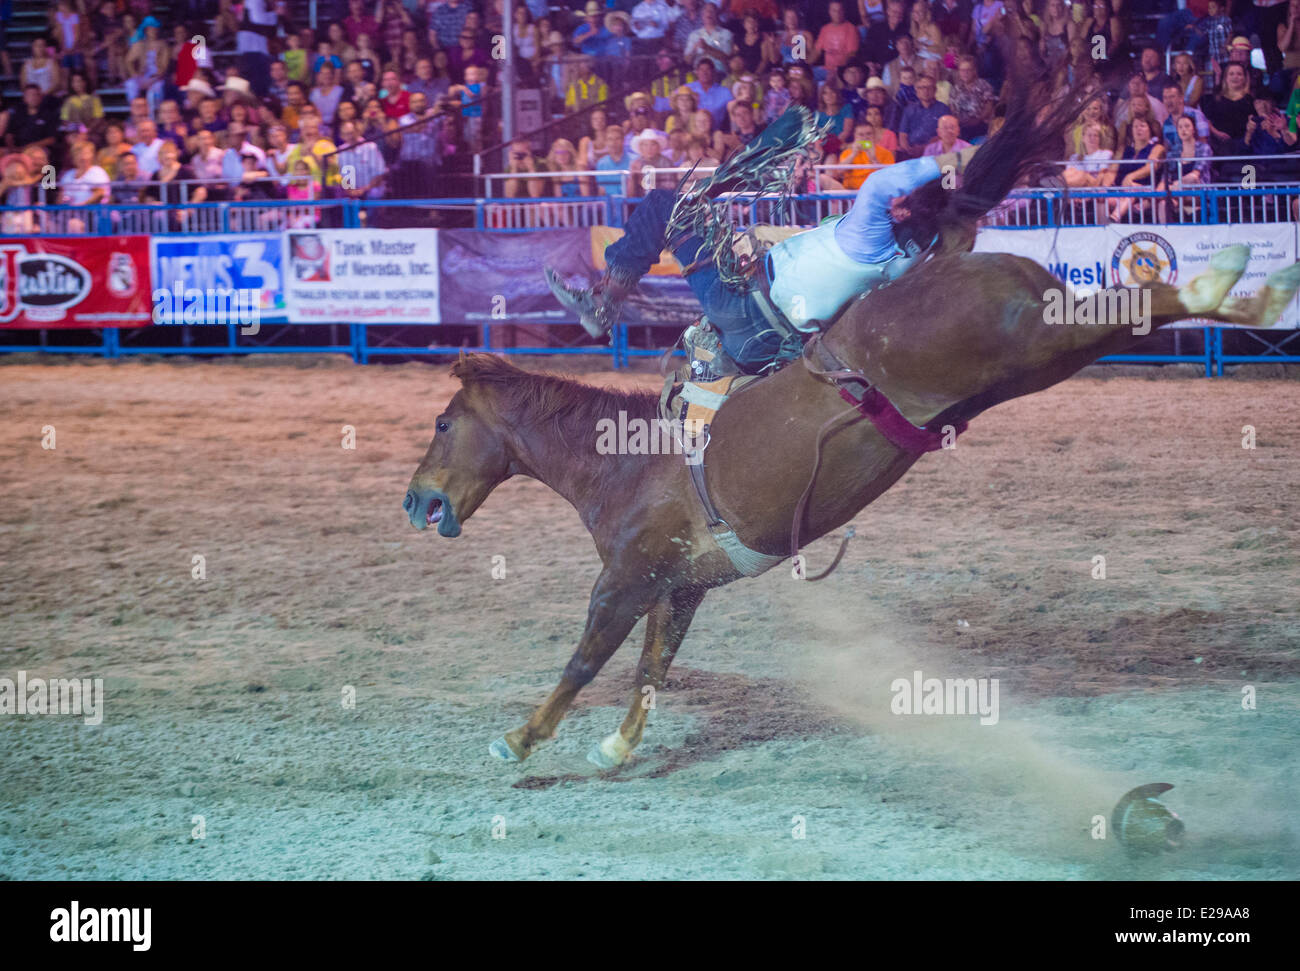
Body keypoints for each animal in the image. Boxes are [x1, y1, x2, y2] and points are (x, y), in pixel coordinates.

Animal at [403, 242, 1300, 769]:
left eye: (443, 422)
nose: (415, 500)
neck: (626, 461)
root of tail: (990, 260)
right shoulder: (677, 586)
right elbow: (653, 668)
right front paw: (618, 747)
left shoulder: (622, 581)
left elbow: (586, 659)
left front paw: (520, 739)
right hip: (1040, 358)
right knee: (1134, 312)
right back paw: (1249, 290)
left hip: (1033, 341)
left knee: (1139, 304)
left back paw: (1236, 277)